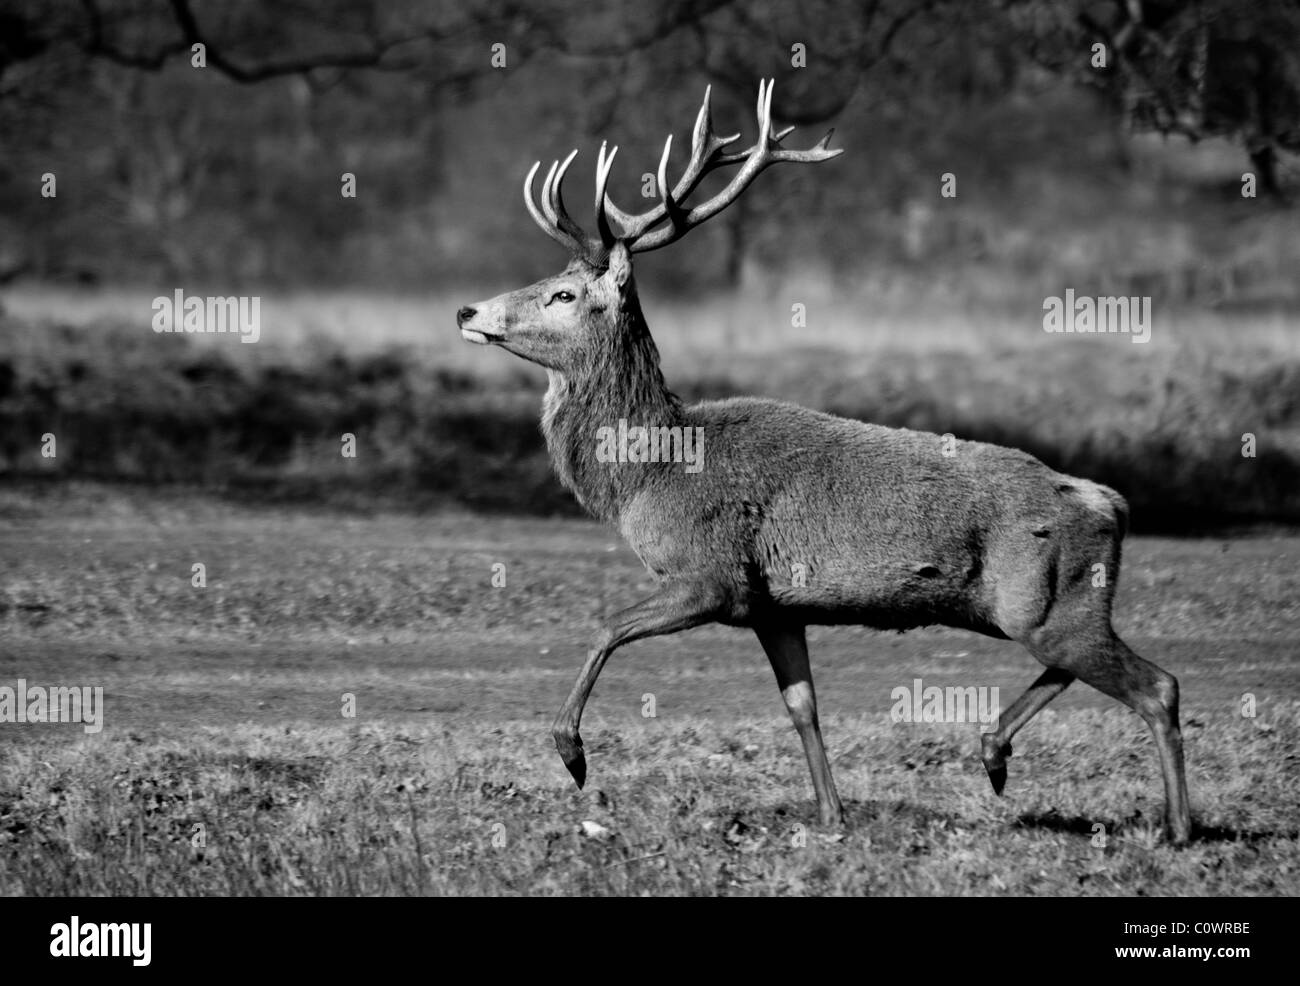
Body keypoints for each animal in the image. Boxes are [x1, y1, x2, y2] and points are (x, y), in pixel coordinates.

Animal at [457, 80, 1192, 844]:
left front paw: (571, 753)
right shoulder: (772, 606)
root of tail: (1111, 503)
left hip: (1052, 599)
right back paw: (994, 754)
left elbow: (606, 625)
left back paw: (1177, 827)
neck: (644, 476)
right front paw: (832, 814)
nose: (467, 310)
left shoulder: (711, 574)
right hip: (1042, 610)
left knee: (1156, 685)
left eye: (563, 293)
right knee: (1093, 673)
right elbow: (802, 705)